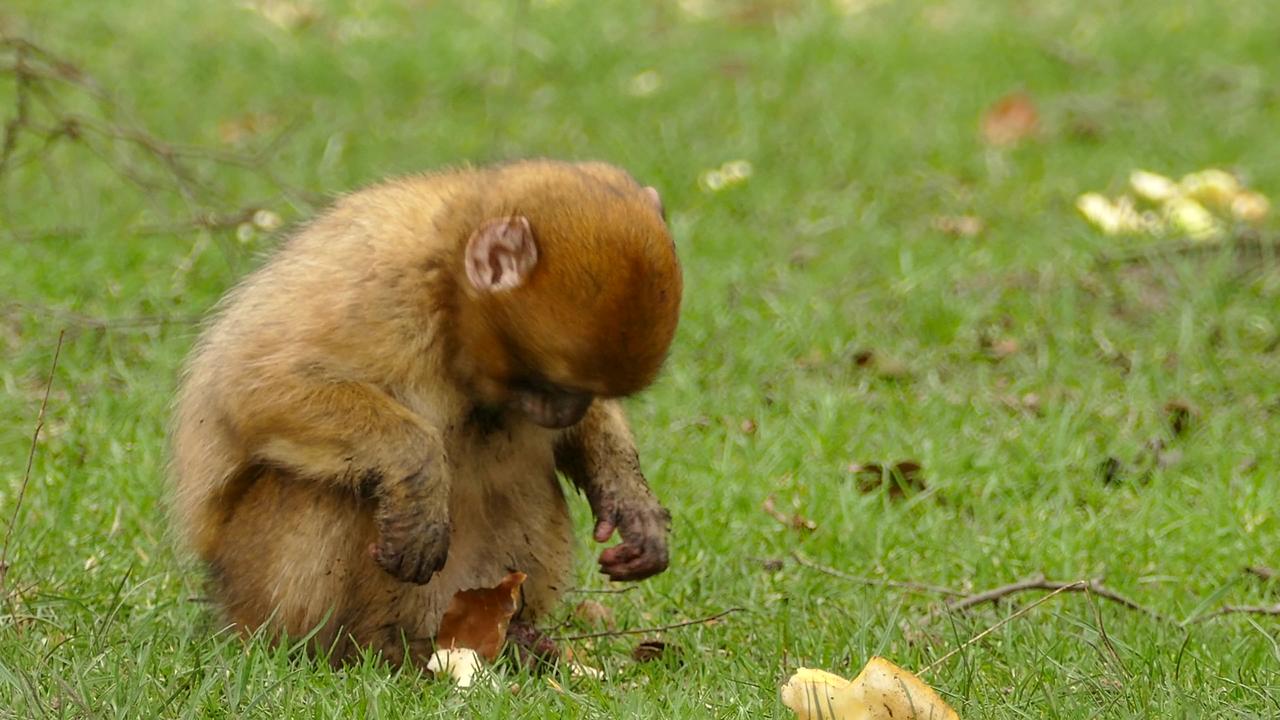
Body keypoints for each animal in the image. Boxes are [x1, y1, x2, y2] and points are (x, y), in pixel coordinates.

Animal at [169, 159, 682, 666]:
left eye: (588, 393)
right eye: (555, 385)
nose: (567, 413)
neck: (448, 281)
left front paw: (630, 498)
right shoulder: (381, 293)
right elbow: (253, 386)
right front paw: (417, 473)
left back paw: (512, 638)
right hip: (255, 588)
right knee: (318, 489)